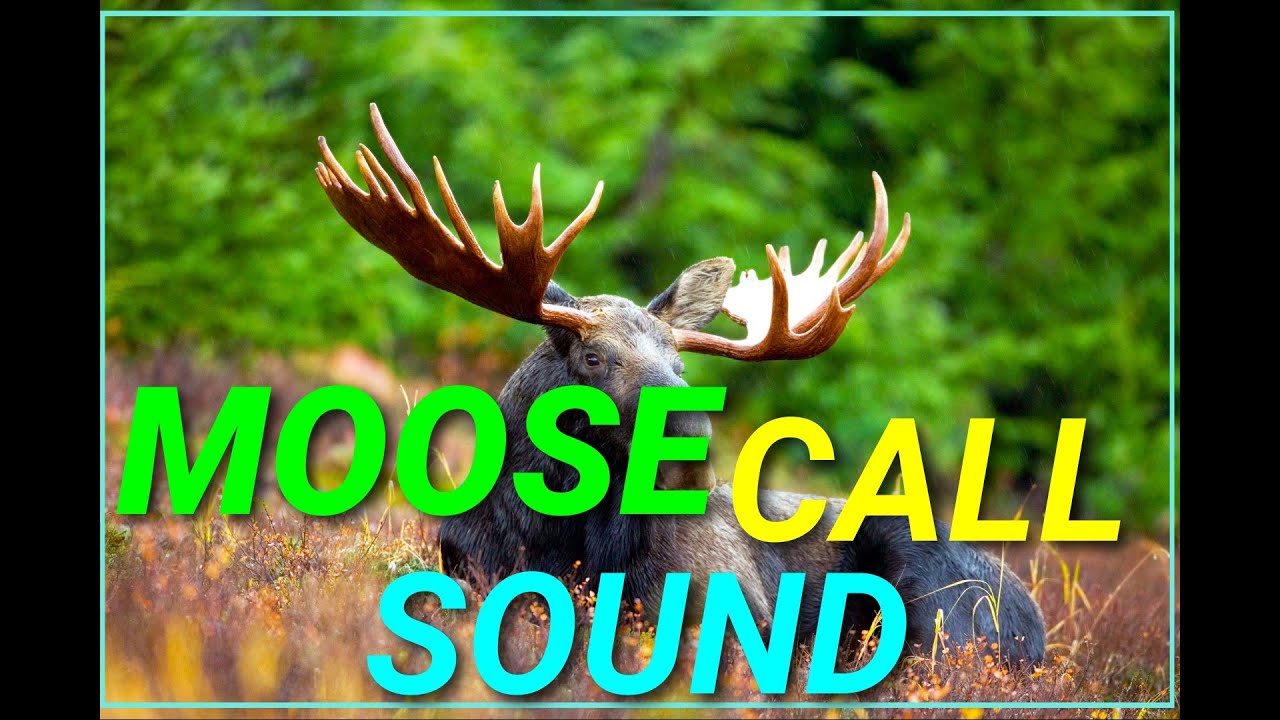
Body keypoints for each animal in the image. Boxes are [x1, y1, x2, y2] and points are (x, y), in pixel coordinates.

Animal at [315, 104, 1046, 672]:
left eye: (681, 365)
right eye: (594, 357)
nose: (692, 440)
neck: (558, 544)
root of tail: (1036, 629)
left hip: (933, 600)